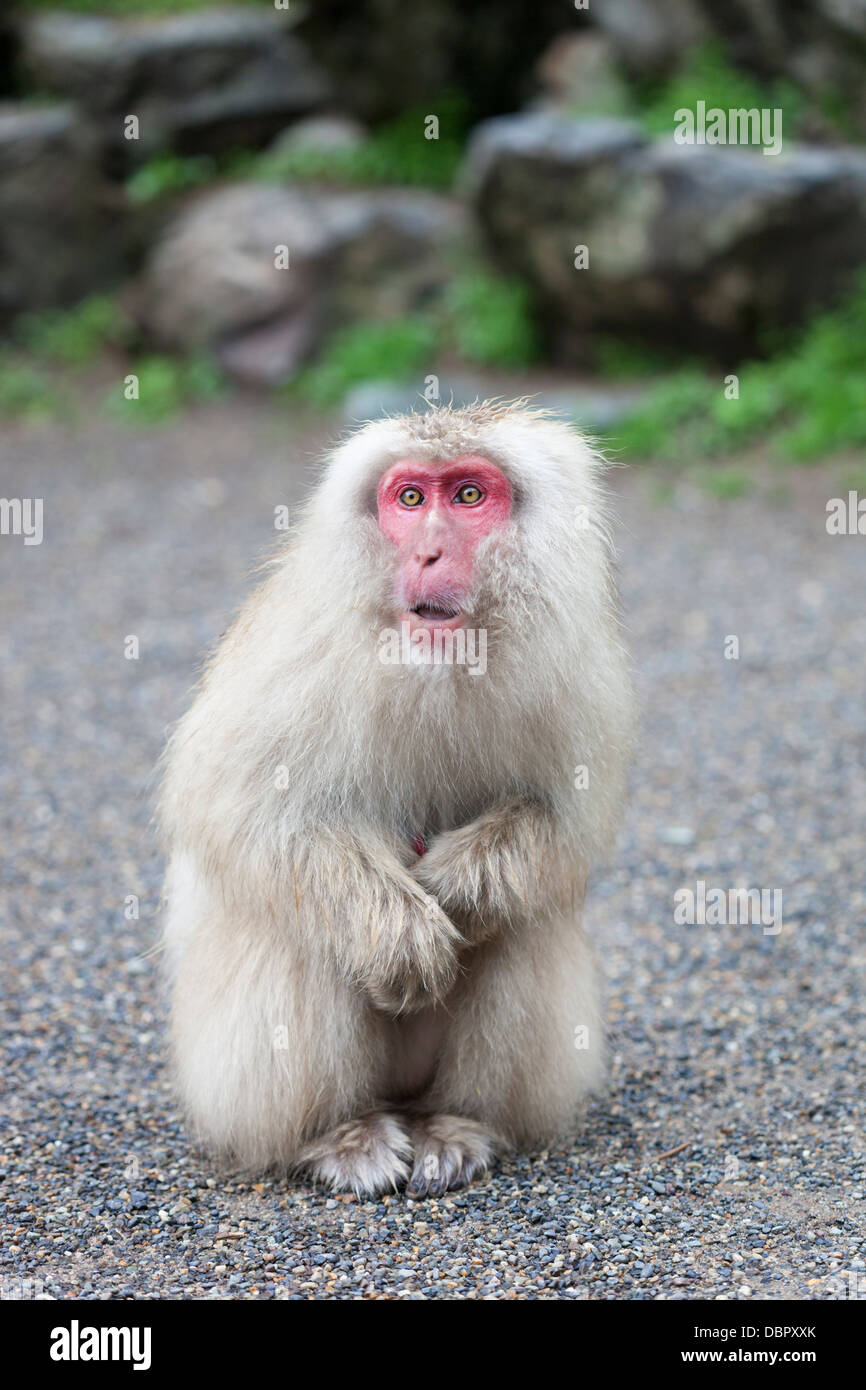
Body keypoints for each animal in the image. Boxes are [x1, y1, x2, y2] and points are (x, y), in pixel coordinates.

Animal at [158, 399, 634, 1198]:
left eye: (468, 495)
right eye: (410, 499)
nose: (430, 554)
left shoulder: (577, 666)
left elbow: (562, 818)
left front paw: (463, 887)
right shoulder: (293, 654)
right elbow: (243, 813)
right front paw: (400, 935)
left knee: (526, 923)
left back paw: (456, 1124)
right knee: (299, 927)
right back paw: (338, 1135)